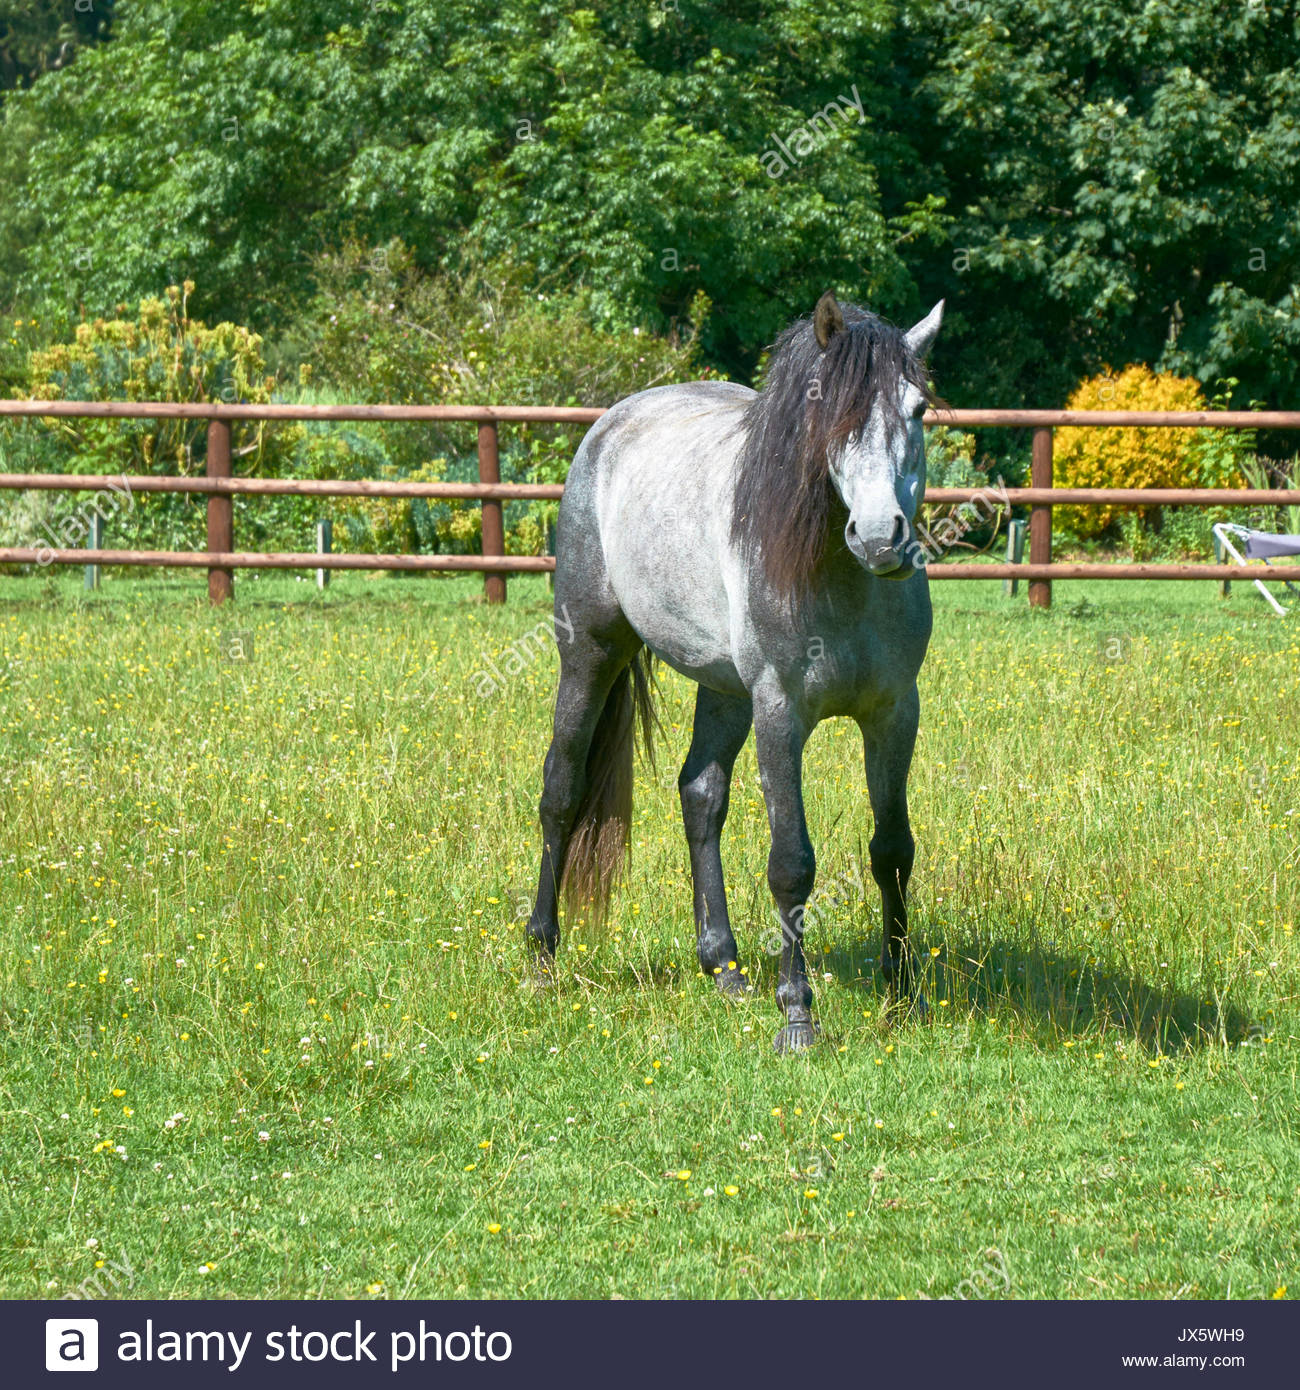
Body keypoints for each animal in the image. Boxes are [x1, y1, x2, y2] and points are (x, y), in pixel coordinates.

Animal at [525, 291, 944, 1051]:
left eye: (919, 408)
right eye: (825, 411)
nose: (880, 540)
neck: (839, 579)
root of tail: (612, 425)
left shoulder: (894, 712)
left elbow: (893, 849)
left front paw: (901, 995)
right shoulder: (781, 713)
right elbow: (792, 863)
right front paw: (798, 1014)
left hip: (723, 689)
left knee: (700, 796)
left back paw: (723, 965)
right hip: (591, 652)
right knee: (561, 792)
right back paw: (541, 956)